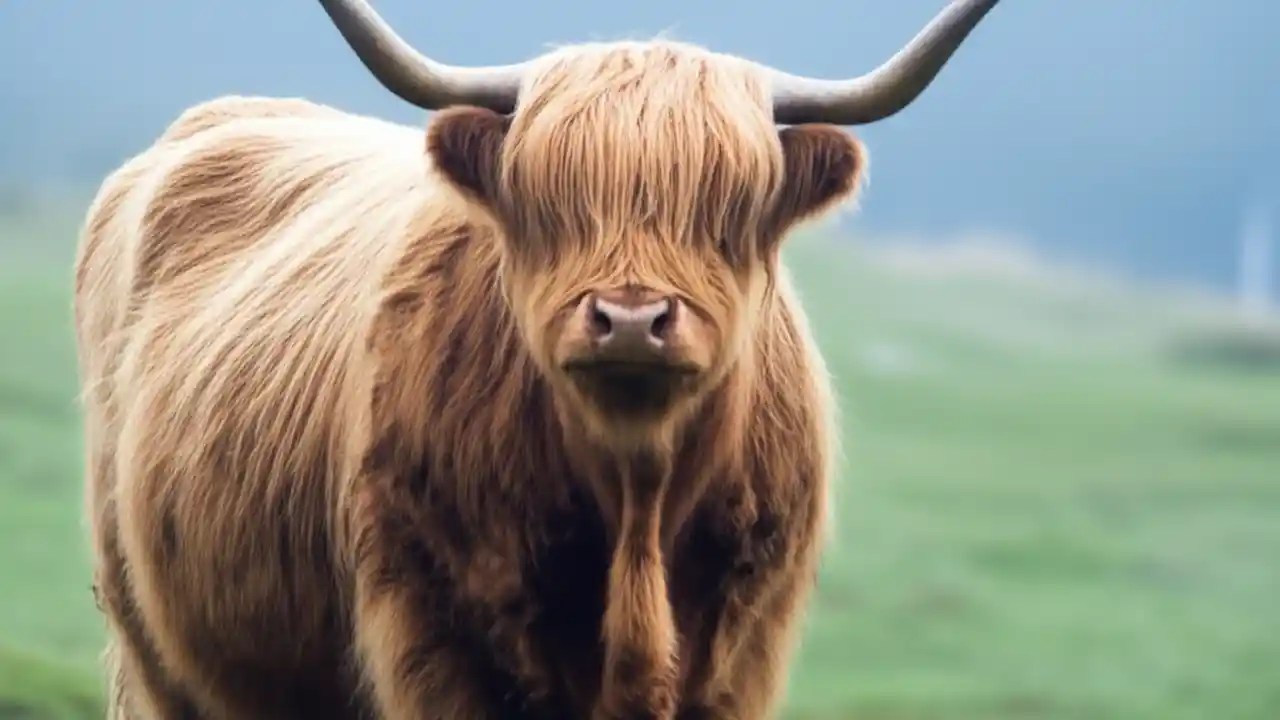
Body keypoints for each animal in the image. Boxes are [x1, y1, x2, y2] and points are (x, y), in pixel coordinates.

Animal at [73, 1, 1002, 718]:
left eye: (730, 208)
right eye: (548, 201)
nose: (630, 320)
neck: (635, 508)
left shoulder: (739, 656)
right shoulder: (438, 641)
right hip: (155, 646)